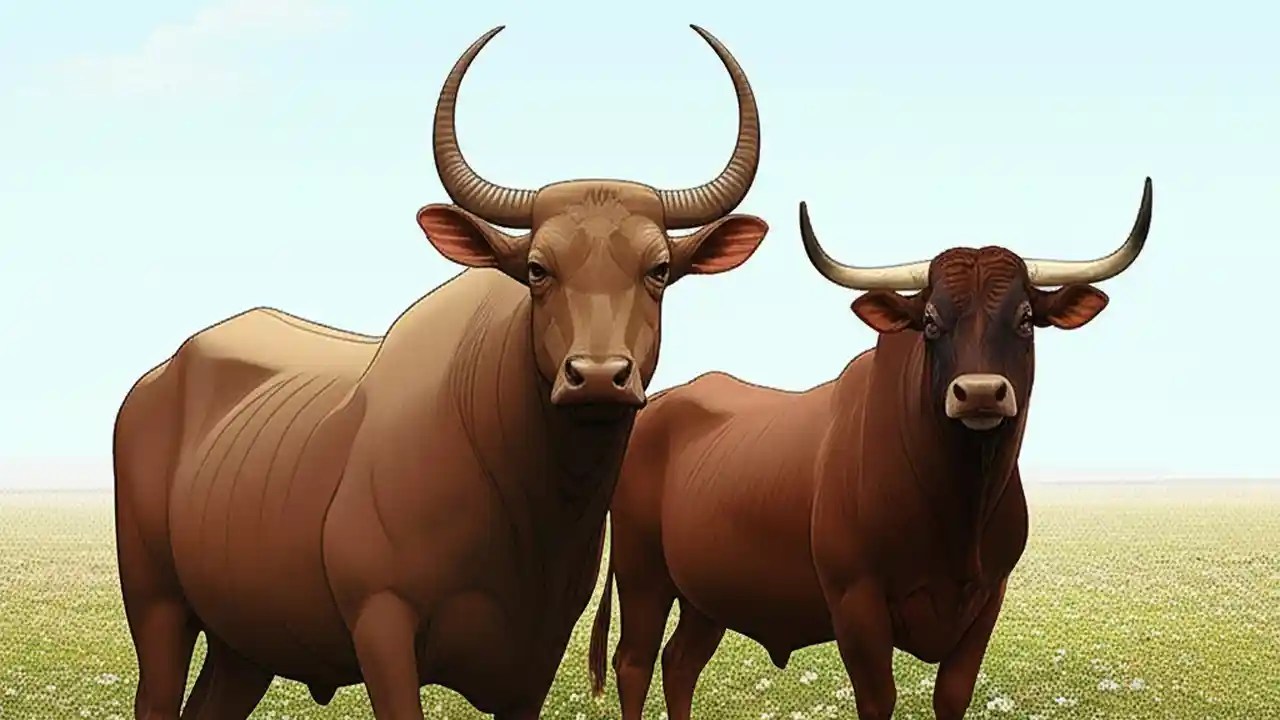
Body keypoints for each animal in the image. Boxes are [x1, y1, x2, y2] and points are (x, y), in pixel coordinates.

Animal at [112, 24, 769, 720]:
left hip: (248, 640)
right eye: (537, 268)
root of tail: (156, 380)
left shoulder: (536, 658)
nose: (597, 377)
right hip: (157, 607)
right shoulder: (382, 626)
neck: (531, 509)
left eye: (659, 270)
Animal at [589, 179, 1153, 720]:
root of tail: (658, 404)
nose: (980, 393)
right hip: (643, 574)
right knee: (635, 662)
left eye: (1025, 318)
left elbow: (952, 697)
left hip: (709, 592)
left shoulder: (988, 598)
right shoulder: (855, 602)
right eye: (930, 321)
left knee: (680, 663)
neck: (958, 510)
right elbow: (878, 700)